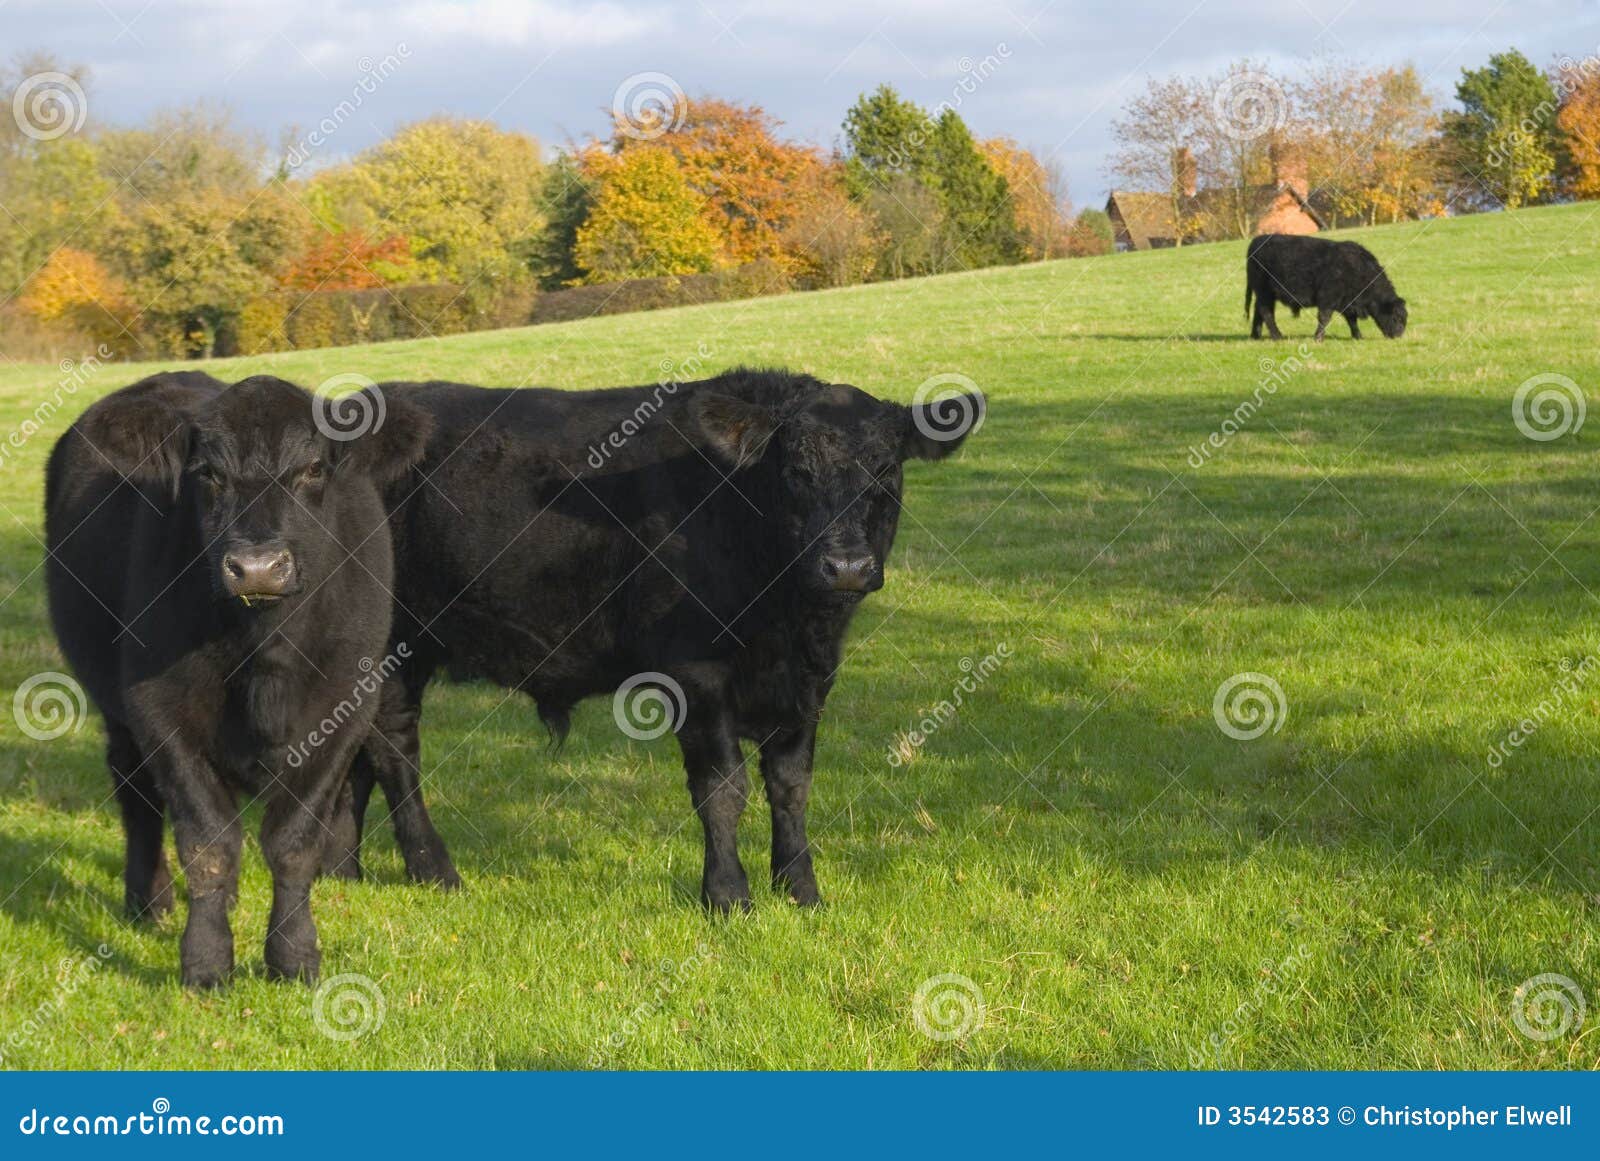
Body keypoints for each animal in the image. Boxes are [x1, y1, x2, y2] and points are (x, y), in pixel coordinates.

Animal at [44, 372, 432, 987]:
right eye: (208, 473)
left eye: (313, 469)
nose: (256, 569)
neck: (264, 651)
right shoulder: (160, 712)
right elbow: (209, 844)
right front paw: (205, 962)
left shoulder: (343, 708)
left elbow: (293, 842)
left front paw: (293, 957)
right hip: (116, 710)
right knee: (136, 794)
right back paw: (150, 902)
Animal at [325, 368, 982, 914]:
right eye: (795, 471)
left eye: (886, 470)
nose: (845, 567)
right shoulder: (695, 671)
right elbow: (723, 787)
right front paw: (728, 897)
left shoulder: (808, 681)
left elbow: (792, 784)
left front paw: (801, 890)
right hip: (390, 648)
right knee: (394, 751)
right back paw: (435, 871)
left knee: (358, 753)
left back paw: (343, 871)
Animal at [1246, 233, 1408, 341]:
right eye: (1396, 317)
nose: (1399, 335)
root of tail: (1257, 239)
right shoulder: (1328, 298)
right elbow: (1324, 318)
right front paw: (1318, 338)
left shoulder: (1347, 302)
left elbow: (1351, 320)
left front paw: (1358, 336)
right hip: (1264, 291)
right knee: (1266, 312)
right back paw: (1277, 336)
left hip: (1263, 293)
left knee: (1258, 311)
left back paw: (1255, 335)